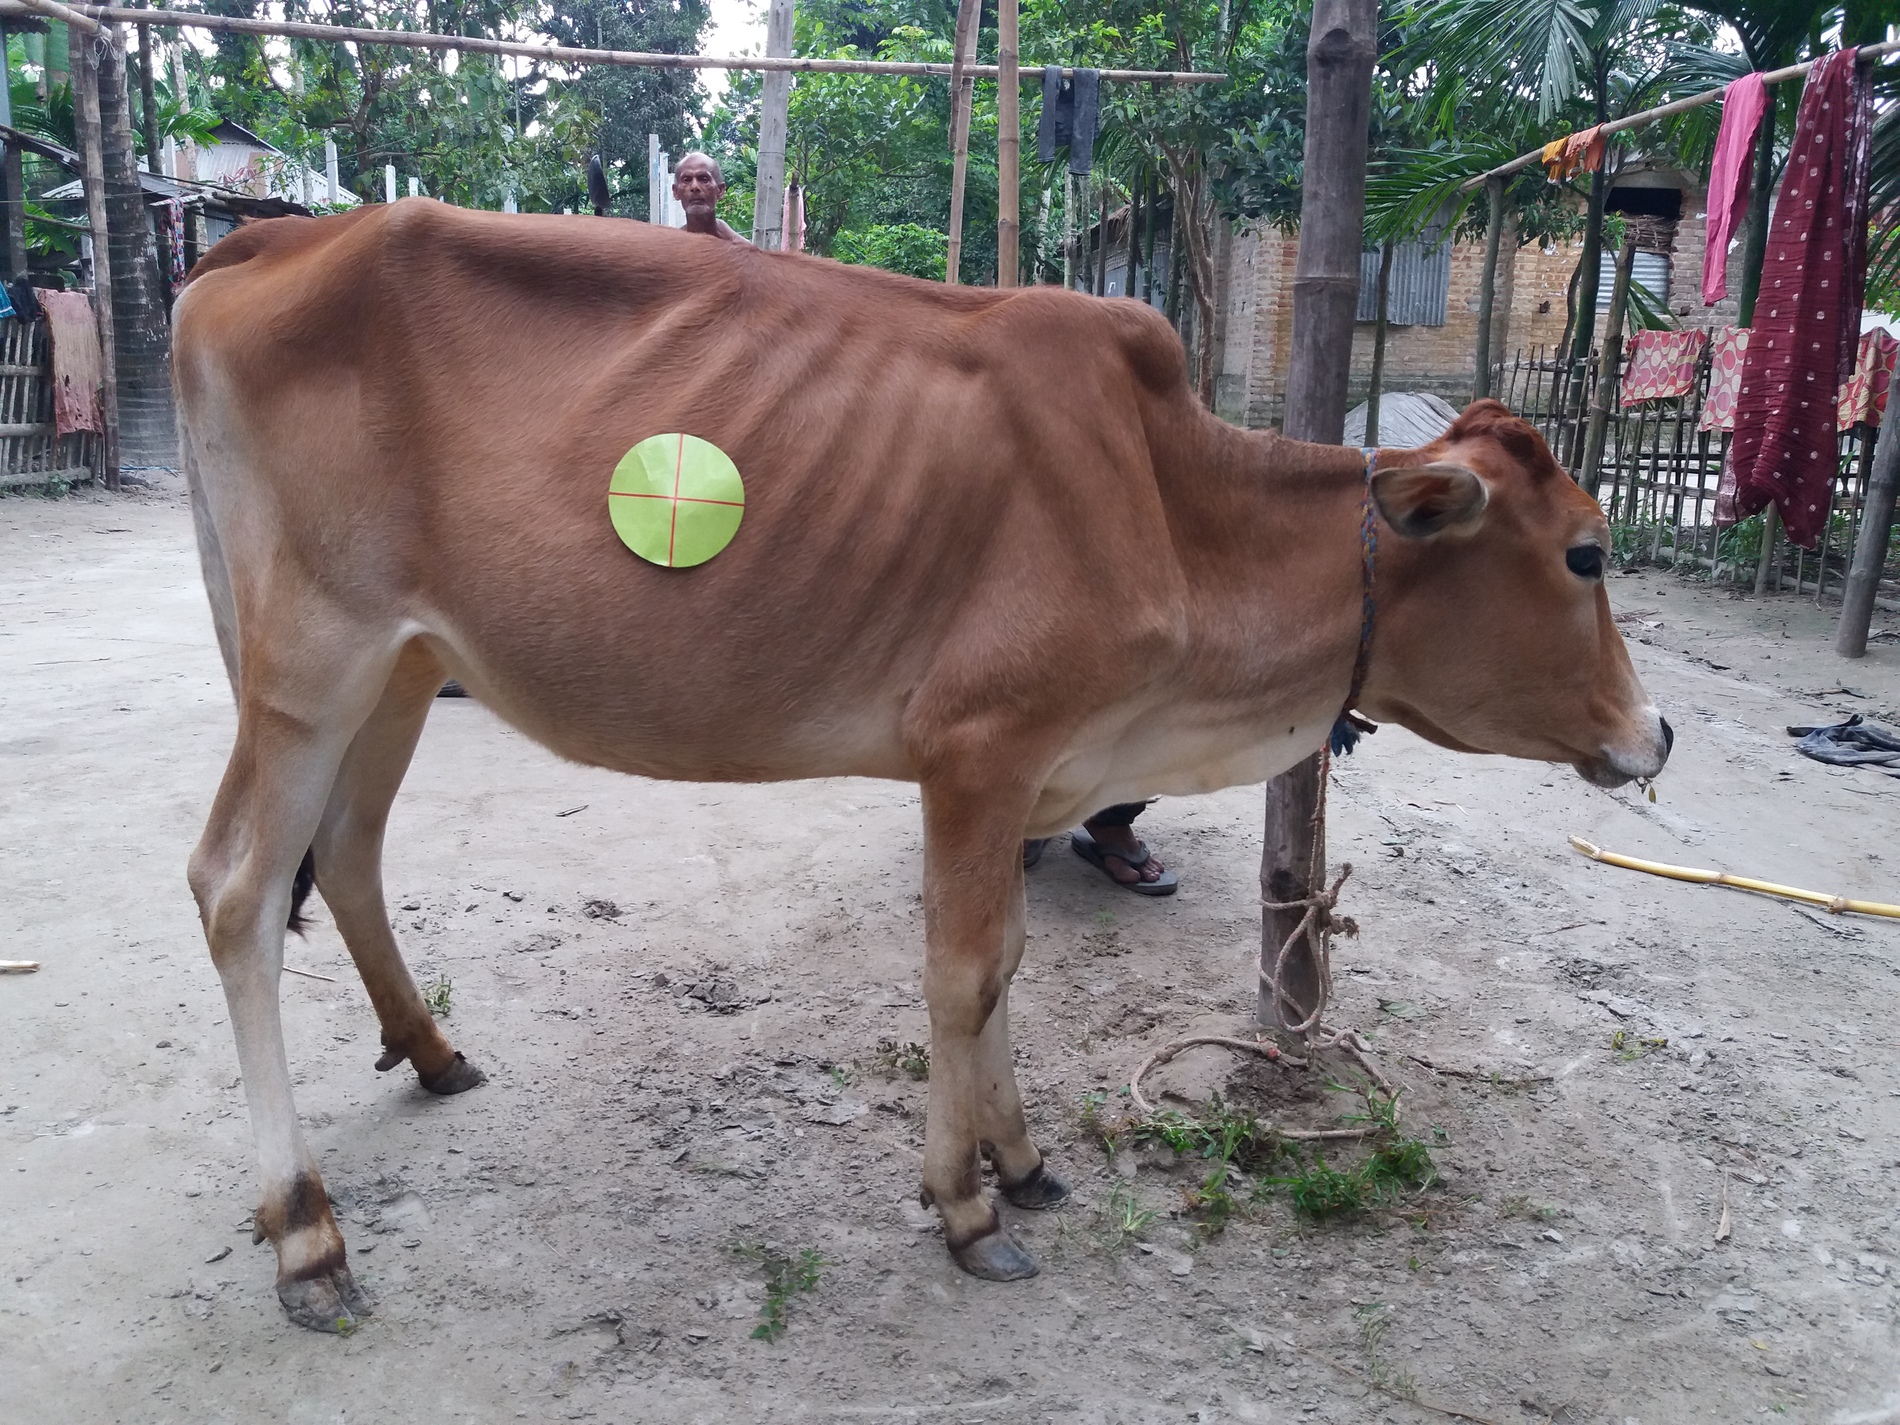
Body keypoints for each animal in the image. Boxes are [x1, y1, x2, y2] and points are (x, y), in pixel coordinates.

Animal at [173, 199, 1670, 1331]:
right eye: (1586, 553)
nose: (1655, 733)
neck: (1174, 510)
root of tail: (274, 236)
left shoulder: (1035, 772)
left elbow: (1006, 962)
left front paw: (1025, 1158)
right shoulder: (978, 752)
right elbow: (960, 976)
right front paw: (964, 1203)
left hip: (403, 666)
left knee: (347, 851)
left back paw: (430, 1051)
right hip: (309, 660)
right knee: (236, 887)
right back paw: (306, 1233)